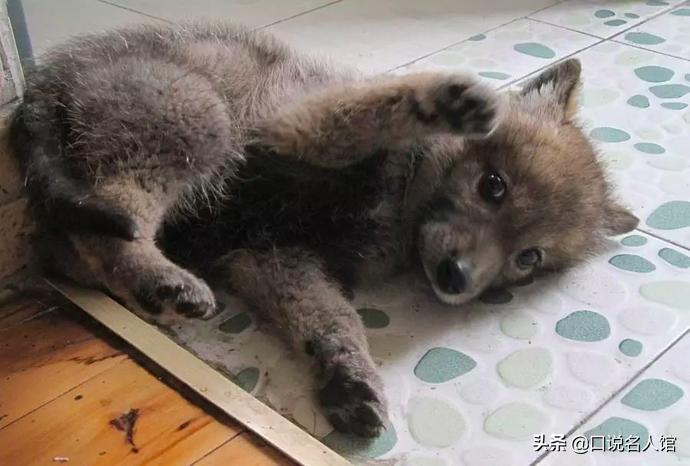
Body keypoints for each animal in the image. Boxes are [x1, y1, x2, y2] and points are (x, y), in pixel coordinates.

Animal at [10, 23, 638, 437]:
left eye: (527, 259)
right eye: (493, 185)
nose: (456, 278)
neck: (400, 196)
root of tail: (48, 81)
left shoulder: (271, 255)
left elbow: (328, 317)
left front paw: (347, 376)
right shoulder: (287, 128)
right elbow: (367, 113)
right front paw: (441, 100)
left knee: (73, 238)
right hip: (193, 119)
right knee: (110, 225)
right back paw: (160, 280)